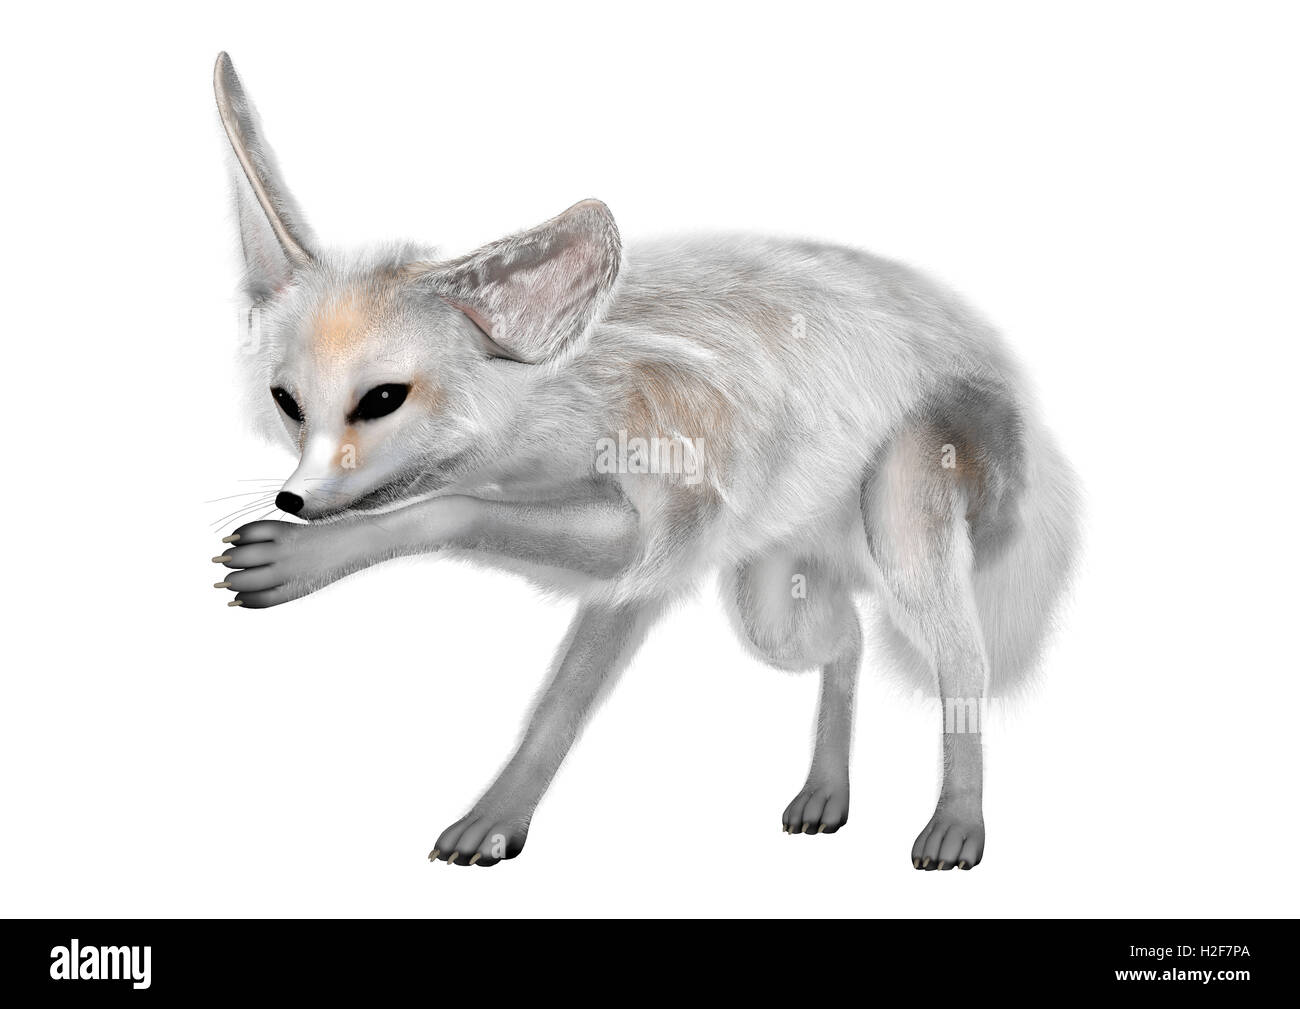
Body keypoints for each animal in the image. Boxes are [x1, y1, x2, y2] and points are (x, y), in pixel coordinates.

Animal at [210, 52, 1080, 870]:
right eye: (288, 401)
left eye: (383, 398)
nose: (292, 500)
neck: (566, 395)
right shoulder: (637, 568)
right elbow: (558, 700)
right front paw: (501, 816)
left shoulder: (659, 525)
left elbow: (457, 516)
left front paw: (306, 558)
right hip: (769, 609)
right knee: (850, 640)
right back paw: (828, 789)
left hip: (898, 526)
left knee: (962, 662)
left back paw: (957, 821)